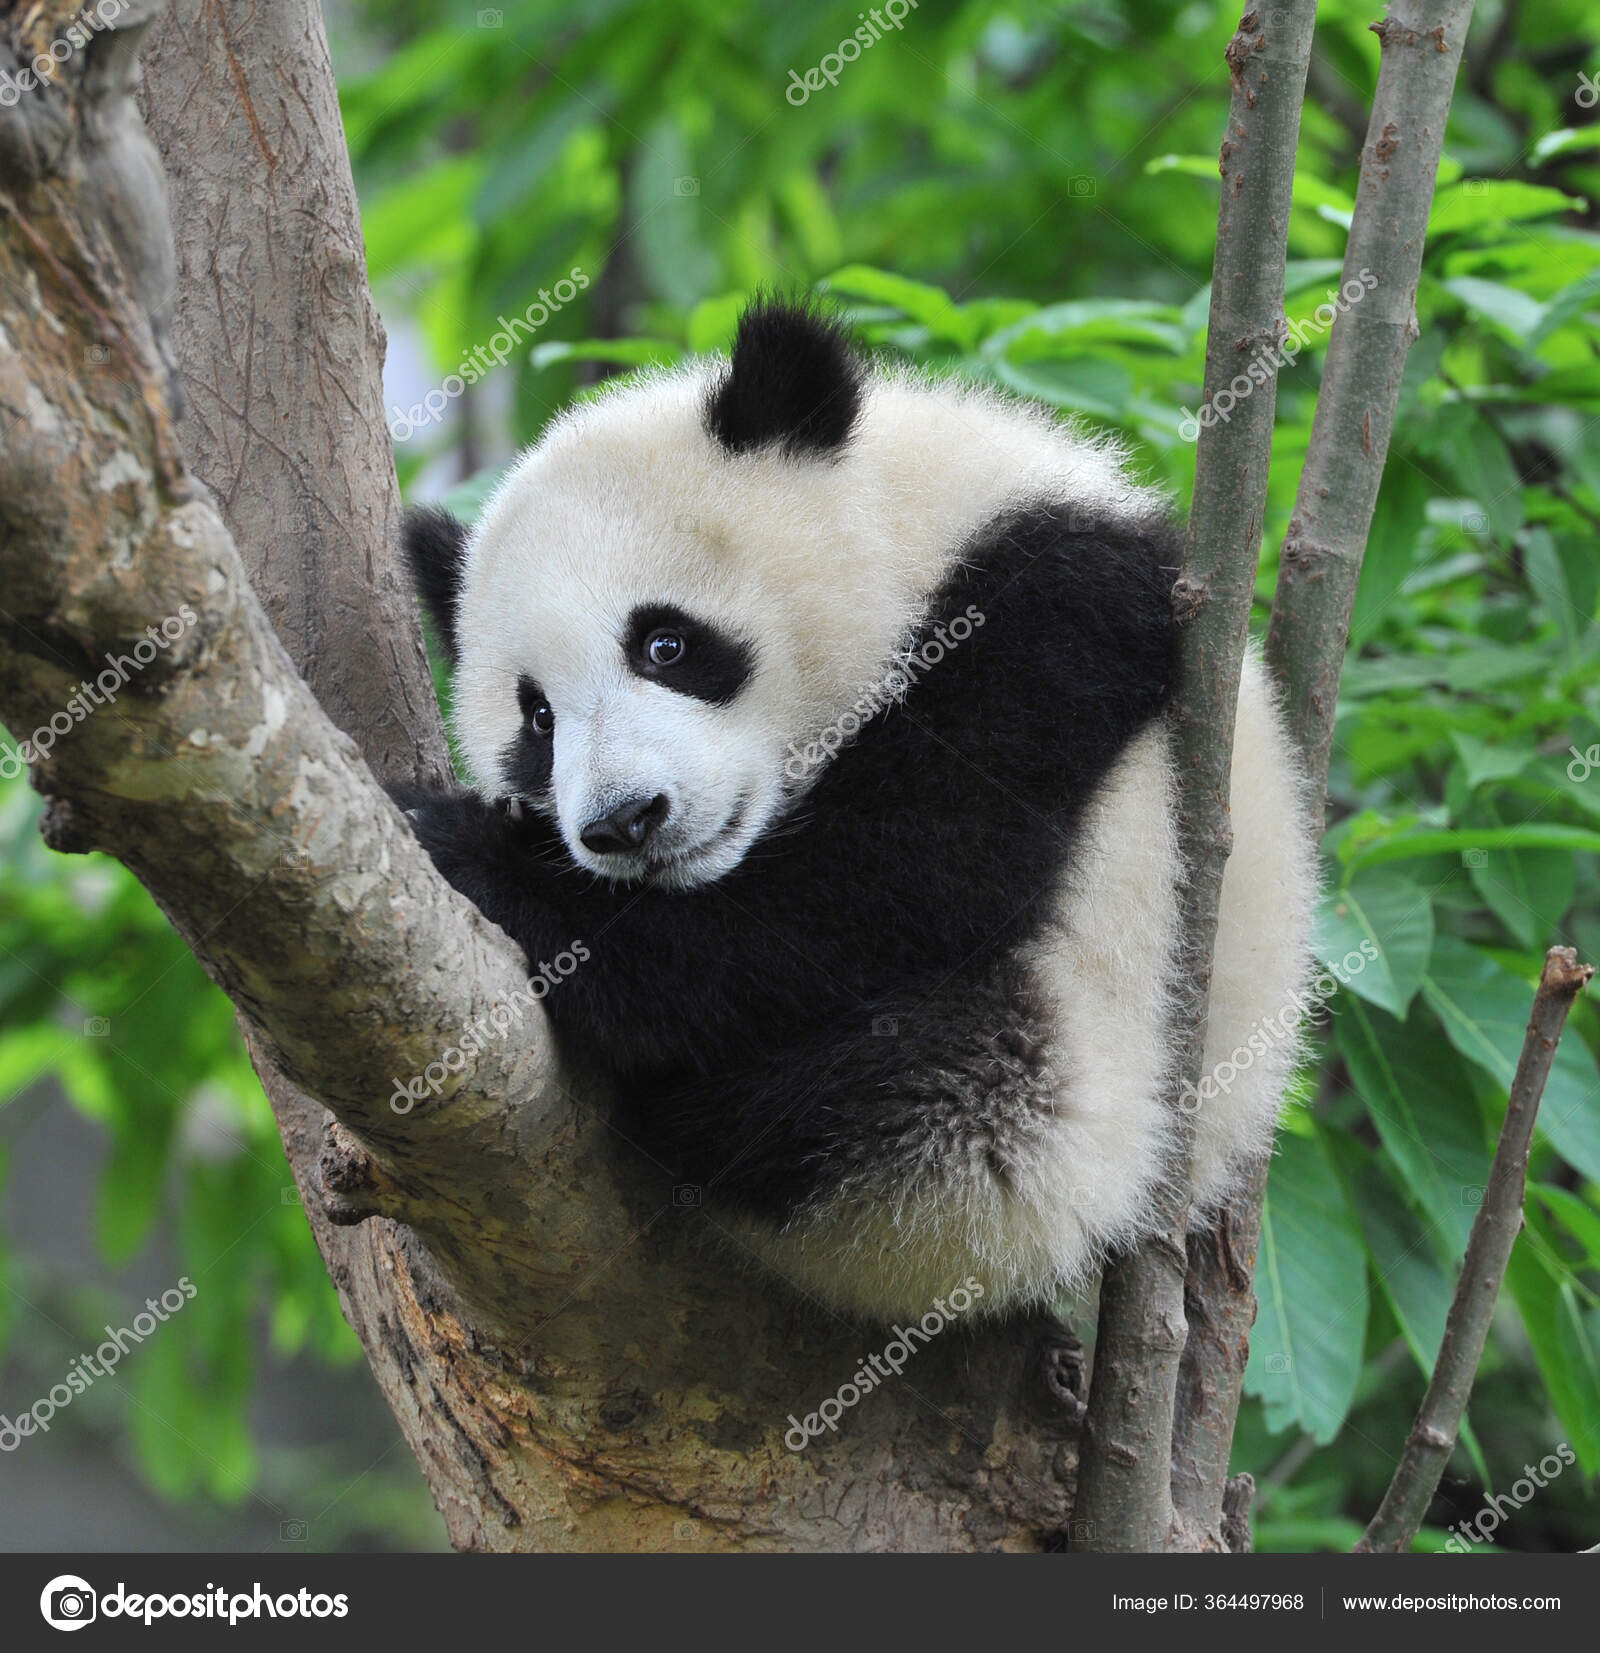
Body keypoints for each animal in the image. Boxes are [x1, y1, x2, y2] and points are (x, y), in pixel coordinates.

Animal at [394, 299, 1316, 1323]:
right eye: (538, 719)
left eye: (665, 643)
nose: (625, 822)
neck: (909, 523)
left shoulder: (1060, 598)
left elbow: (890, 883)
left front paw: (467, 847)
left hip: (1074, 1093)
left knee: (927, 1081)